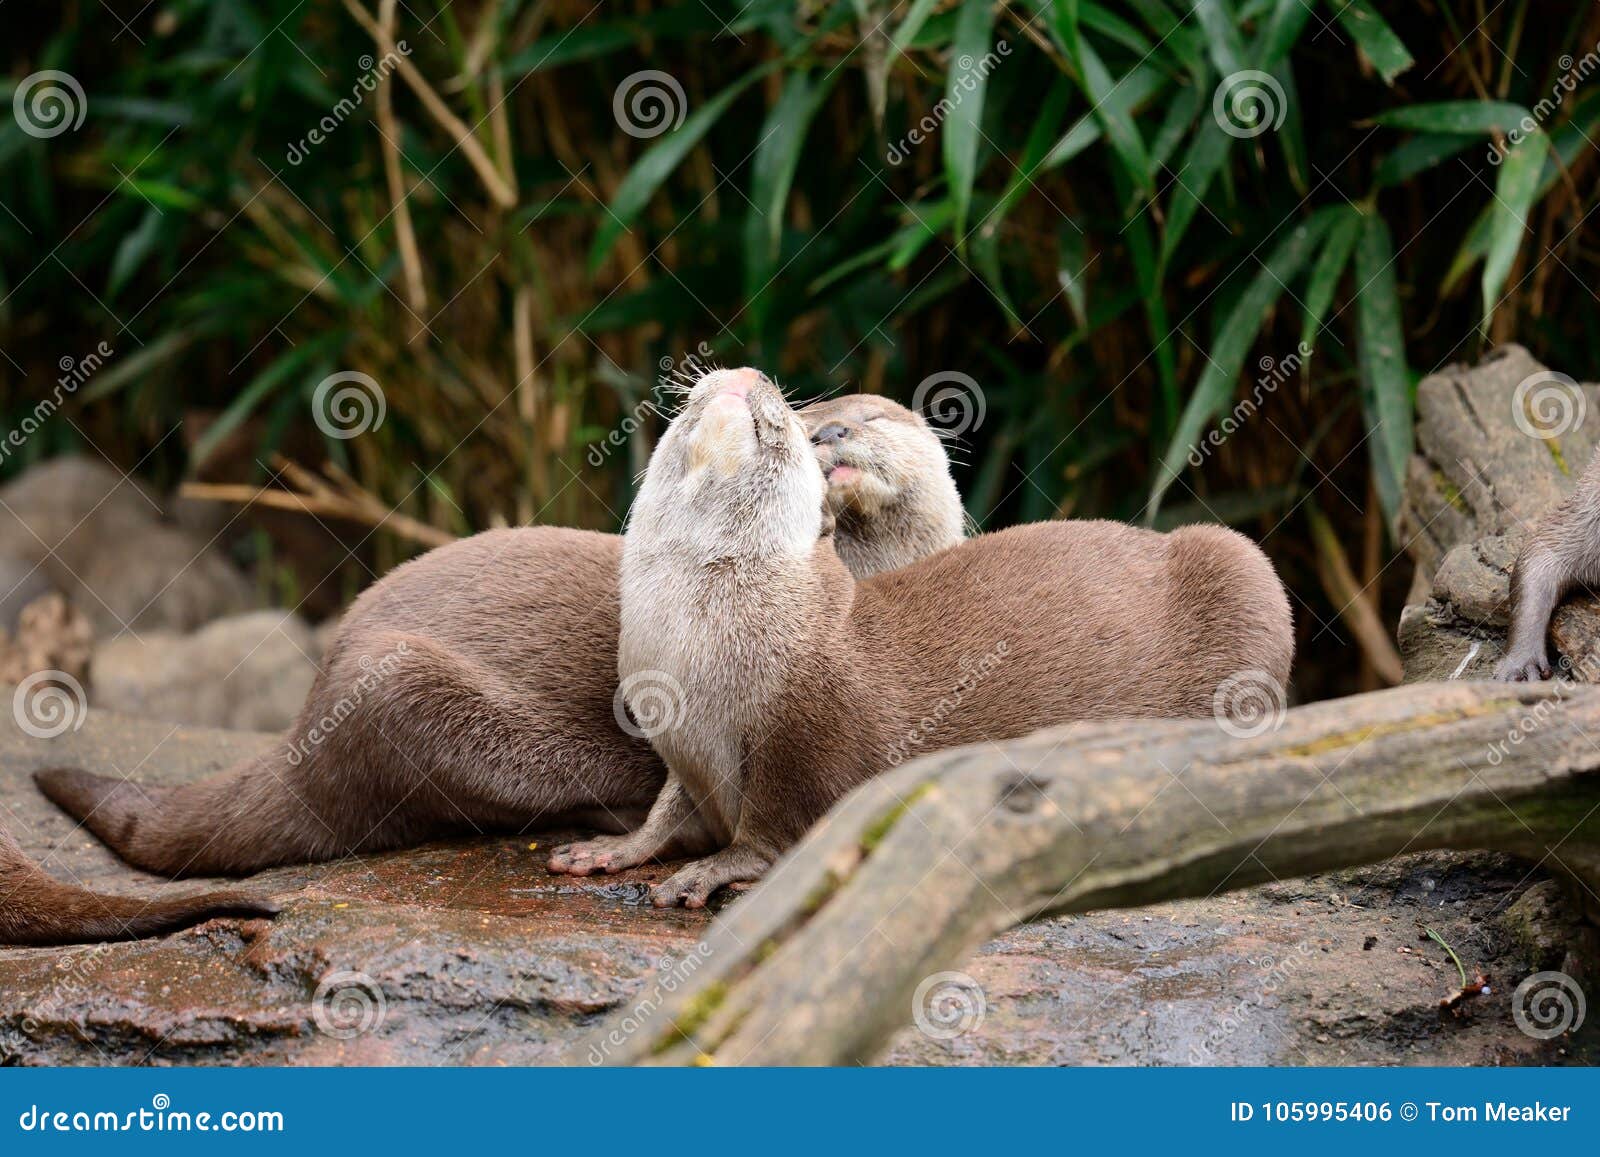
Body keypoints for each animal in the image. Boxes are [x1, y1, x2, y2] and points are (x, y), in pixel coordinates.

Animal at [548, 368, 1294, 908]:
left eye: (787, 415)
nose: (746, 372)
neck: (692, 640)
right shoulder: (684, 744)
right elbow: (671, 806)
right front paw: (616, 848)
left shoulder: (809, 728)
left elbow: (779, 821)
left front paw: (713, 871)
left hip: (1242, 567)